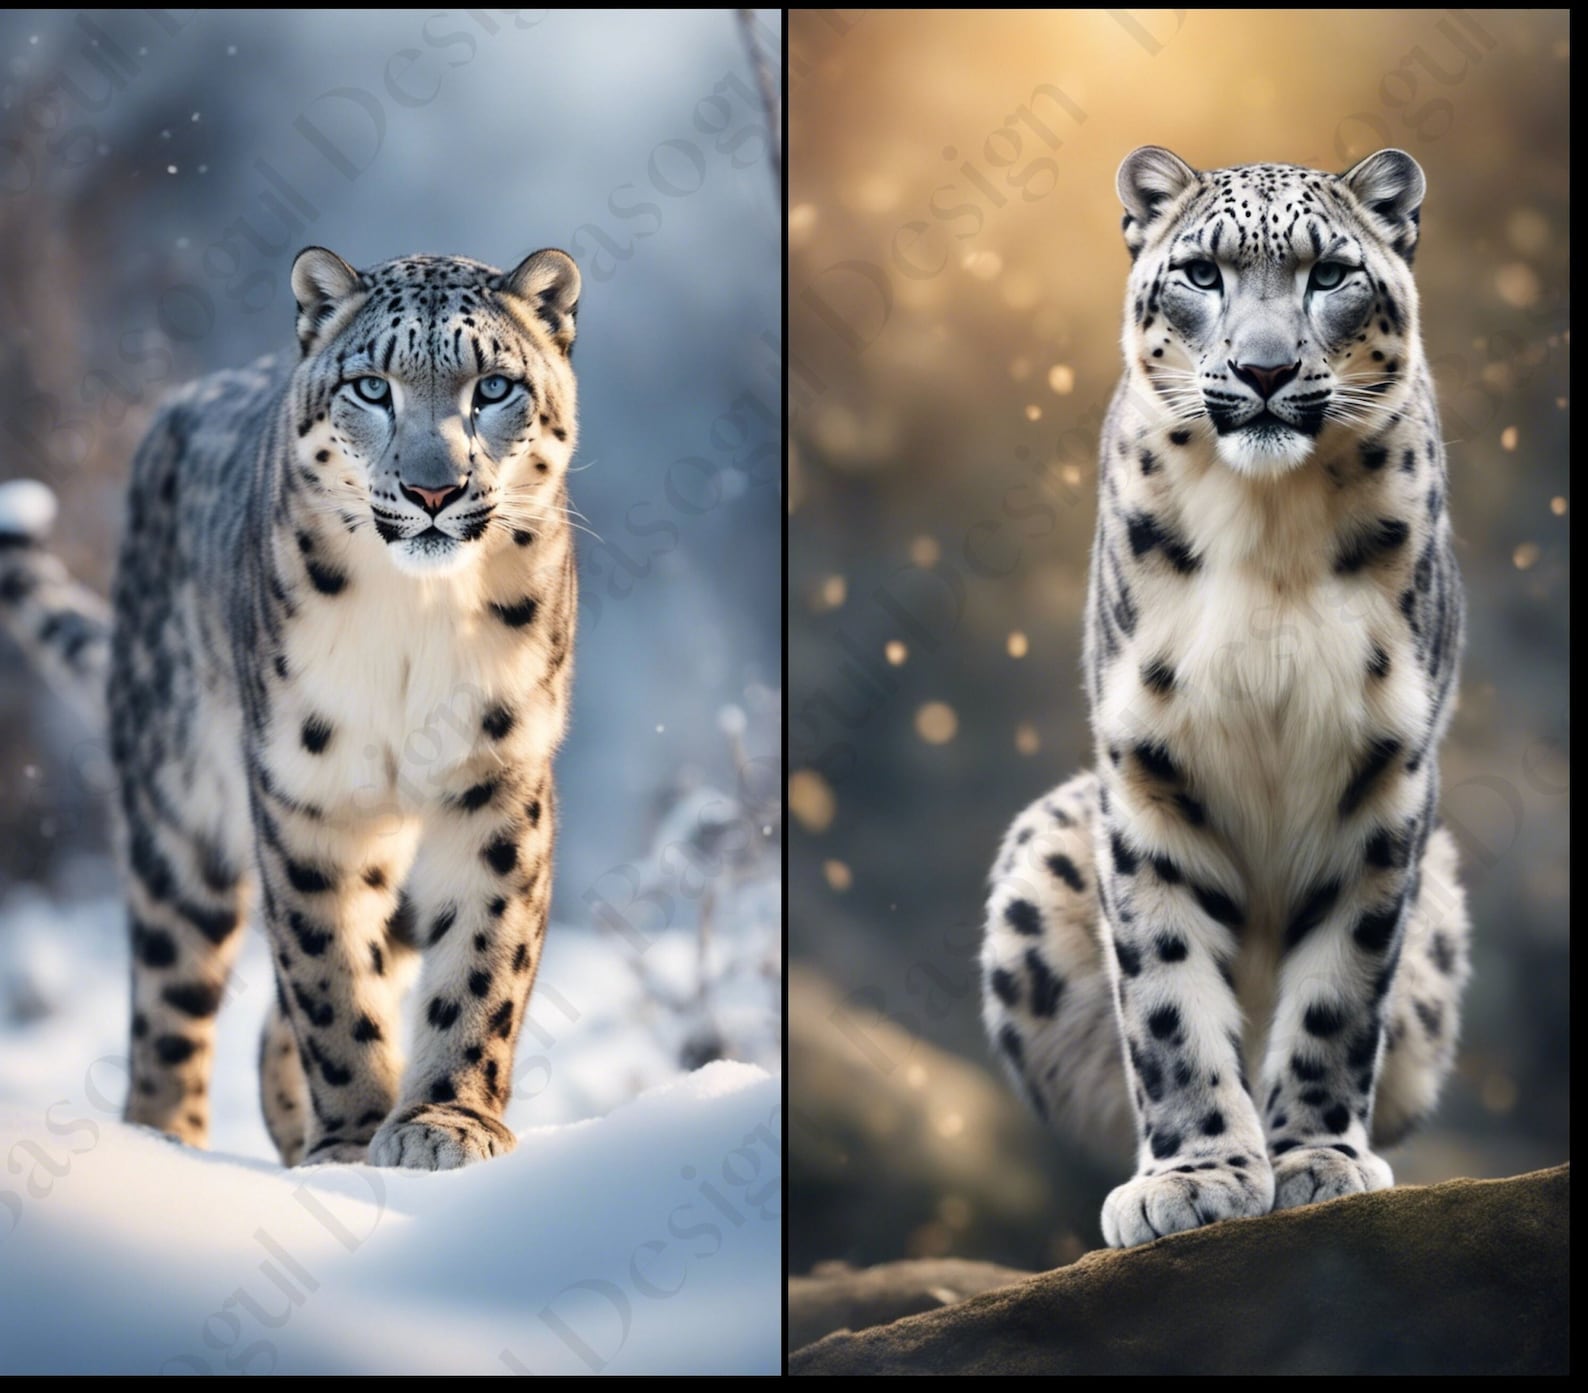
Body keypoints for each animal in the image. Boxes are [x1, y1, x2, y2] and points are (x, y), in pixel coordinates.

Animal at [0, 244, 583, 1170]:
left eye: (493, 386)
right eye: (372, 386)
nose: (432, 489)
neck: (418, 617)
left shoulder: (498, 775)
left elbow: (482, 958)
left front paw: (443, 1123)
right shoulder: (306, 786)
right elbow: (326, 968)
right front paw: (347, 1140)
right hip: (177, 818)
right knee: (170, 1004)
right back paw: (162, 1148)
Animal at [981, 147, 1471, 1247]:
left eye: (1330, 273)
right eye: (1201, 272)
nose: (1264, 370)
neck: (1271, 529)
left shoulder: (1386, 773)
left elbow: (1340, 990)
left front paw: (1315, 1160)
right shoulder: (1147, 762)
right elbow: (1163, 985)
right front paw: (1197, 1175)